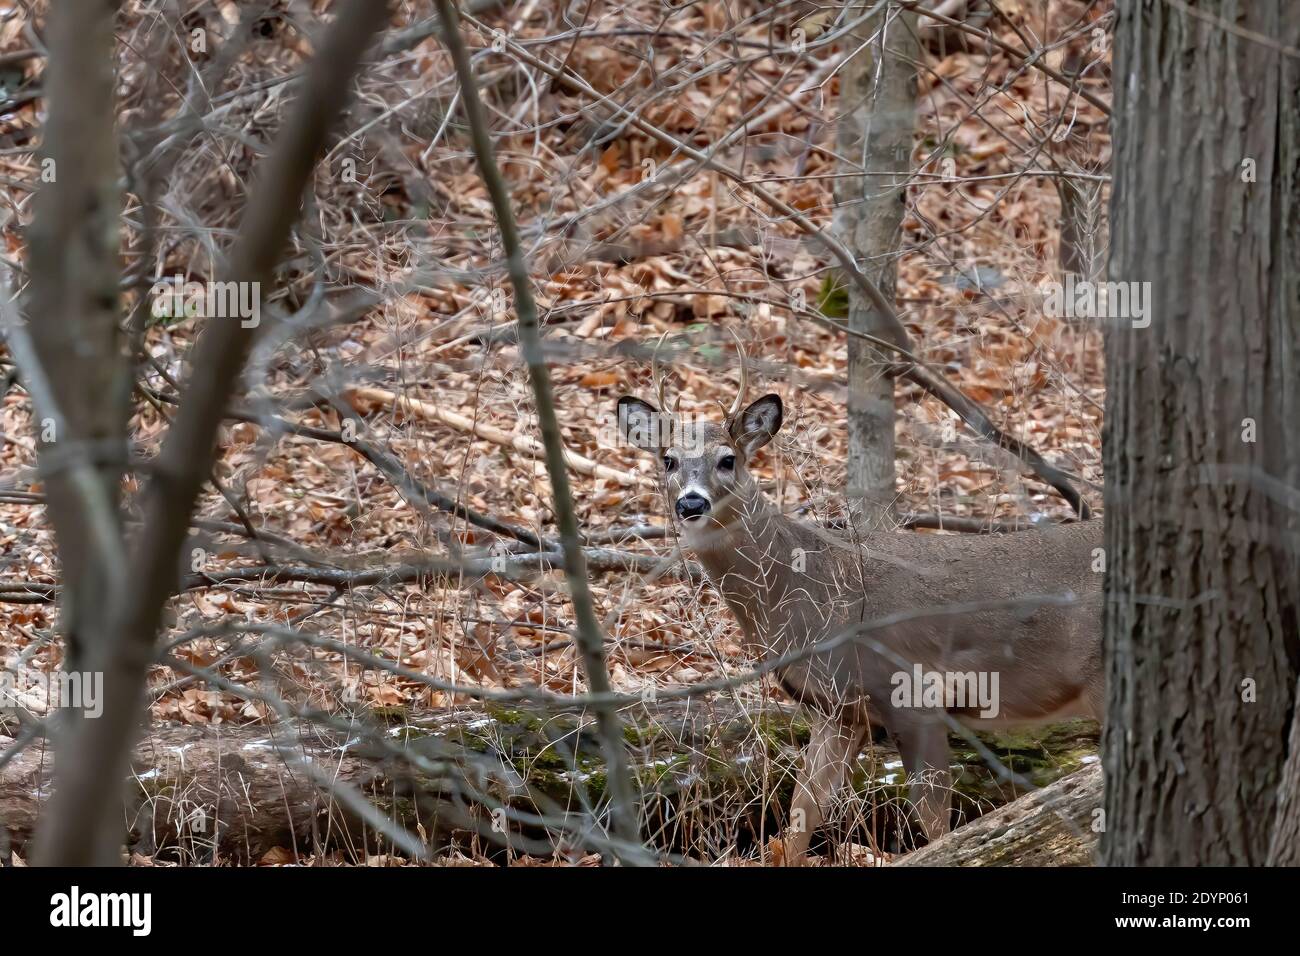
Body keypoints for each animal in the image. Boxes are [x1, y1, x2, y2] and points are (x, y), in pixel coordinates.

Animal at [616, 337, 1104, 862]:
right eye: (667, 459)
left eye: (728, 459)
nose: (691, 503)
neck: (807, 592)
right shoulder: (838, 710)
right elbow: (800, 815)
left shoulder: (910, 690)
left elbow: (937, 823)